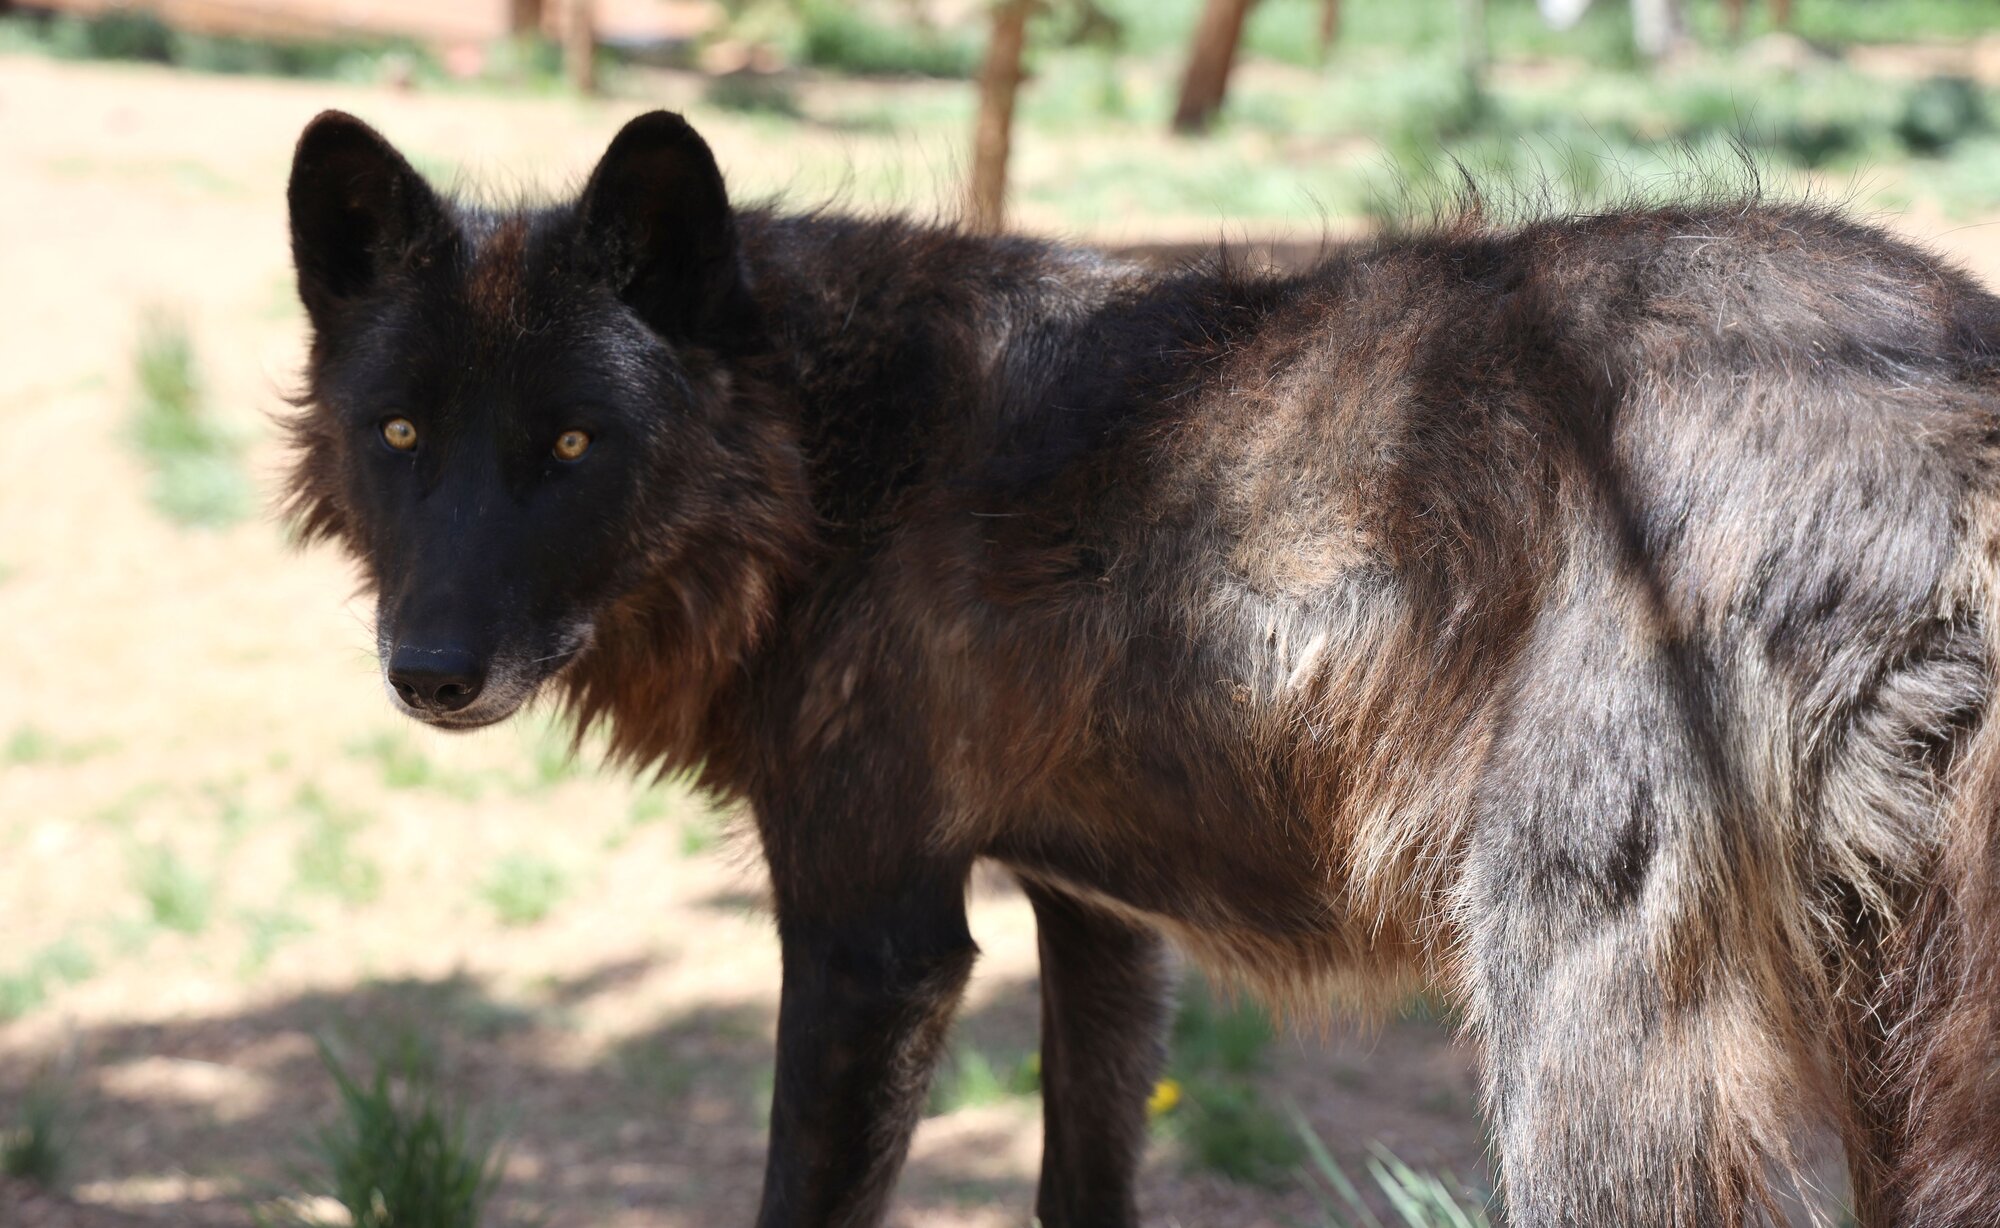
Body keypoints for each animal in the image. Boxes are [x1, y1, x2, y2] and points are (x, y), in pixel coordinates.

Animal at [284, 109, 2000, 1226]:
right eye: (401, 436)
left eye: (573, 446)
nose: (429, 671)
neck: (834, 456)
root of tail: (1954, 404)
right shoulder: (1099, 921)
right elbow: (1080, 1189)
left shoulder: (873, 938)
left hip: (1580, 1056)